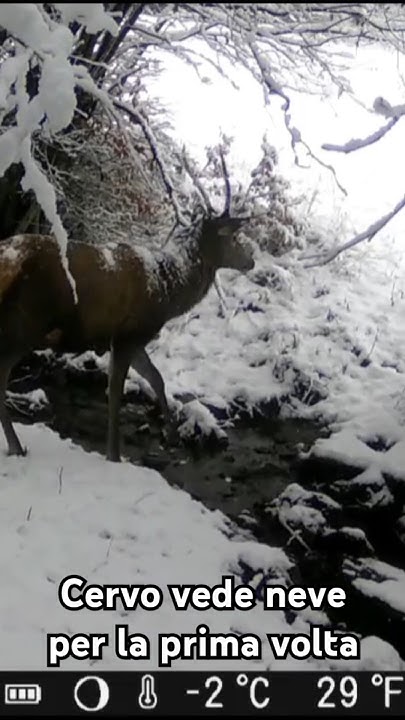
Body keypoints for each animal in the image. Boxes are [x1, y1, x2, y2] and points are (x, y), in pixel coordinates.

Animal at [0, 187, 254, 462]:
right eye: (233, 237)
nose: (251, 259)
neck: (168, 291)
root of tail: (8, 256)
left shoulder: (133, 337)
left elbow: (156, 378)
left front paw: (172, 436)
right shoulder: (128, 335)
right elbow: (116, 392)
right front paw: (114, 455)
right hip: (26, 322)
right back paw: (16, 446)